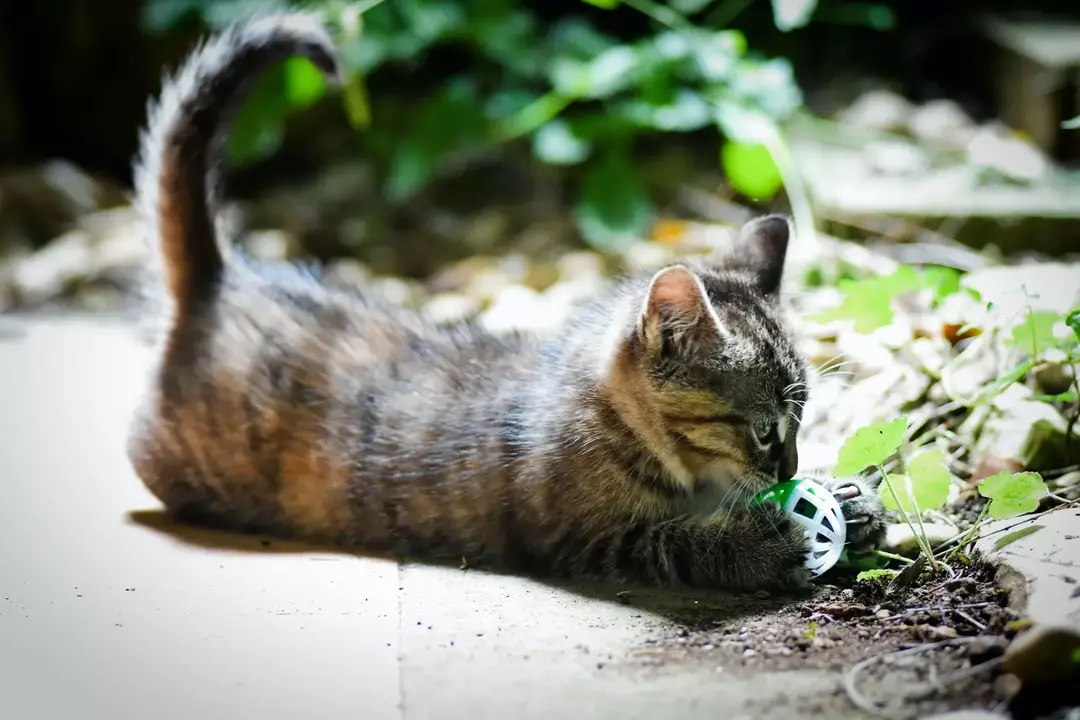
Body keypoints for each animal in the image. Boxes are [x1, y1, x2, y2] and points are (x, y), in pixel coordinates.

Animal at [126, 12, 885, 591]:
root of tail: (221, 276)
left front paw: (853, 501)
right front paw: (763, 542)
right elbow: (680, 543)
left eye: (803, 421)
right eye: (763, 428)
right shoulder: (584, 538)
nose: (790, 471)